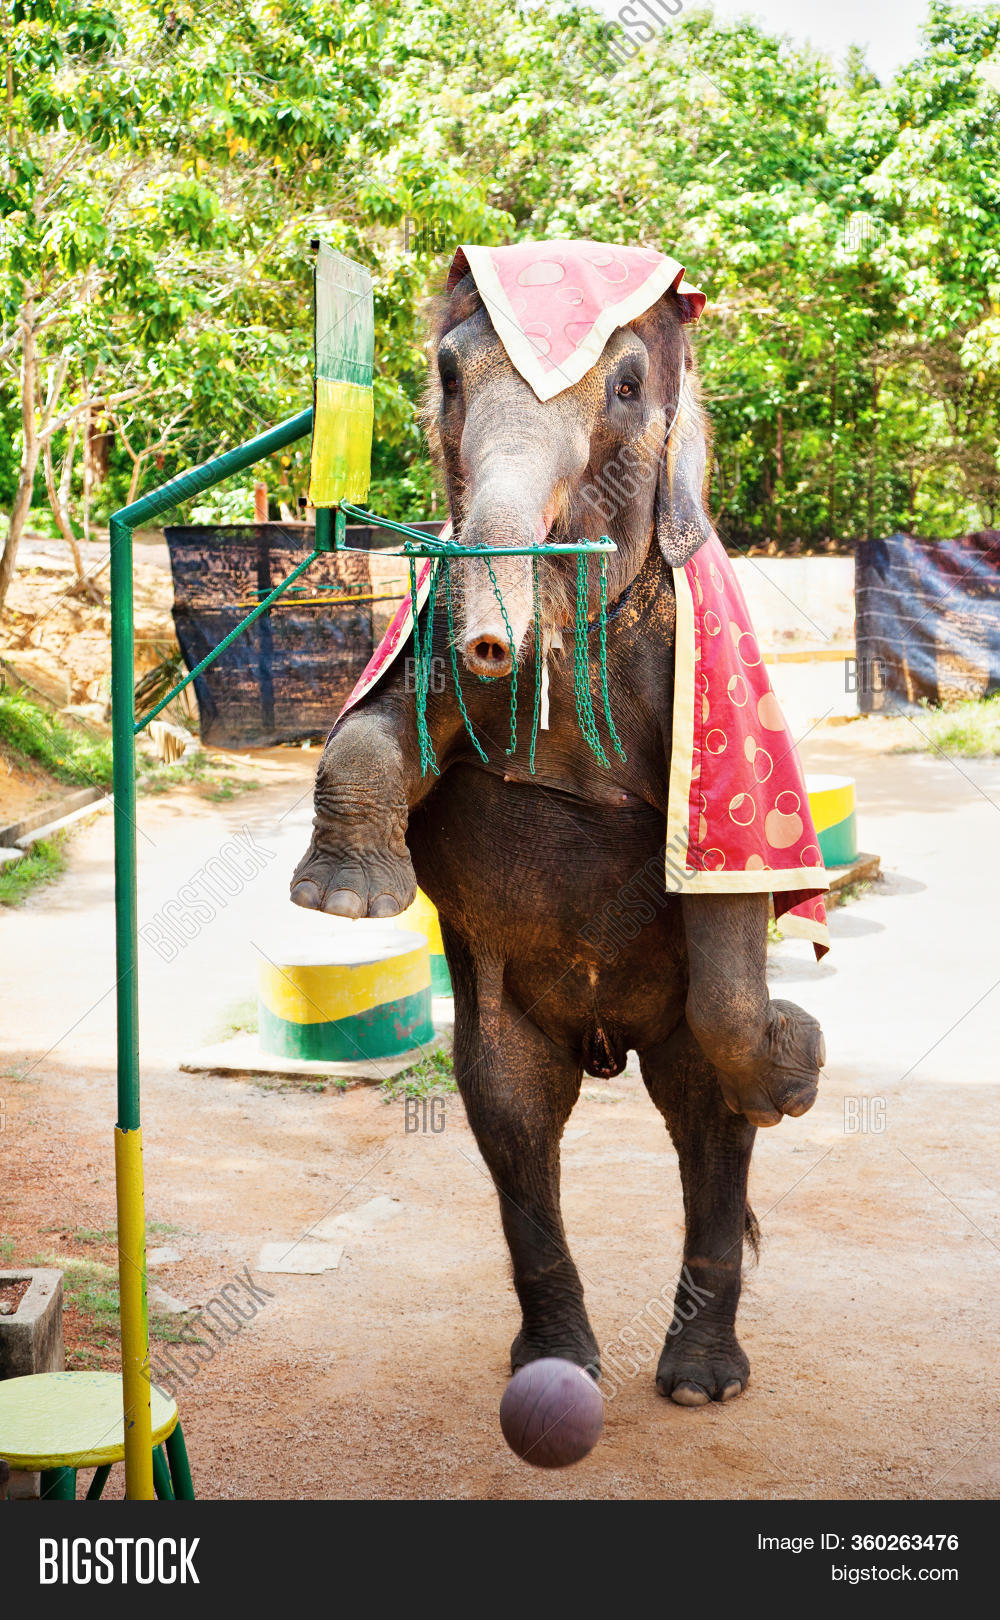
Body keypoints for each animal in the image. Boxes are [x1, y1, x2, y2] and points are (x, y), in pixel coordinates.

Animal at [290, 269, 826, 1406]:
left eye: (625, 388)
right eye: (445, 375)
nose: (495, 645)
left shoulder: (707, 684)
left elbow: (725, 908)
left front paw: (793, 1056)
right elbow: (381, 728)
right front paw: (344, 905)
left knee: (704, 1113)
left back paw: (700, 1381)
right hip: (512, 1038)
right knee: (510, 1104)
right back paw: (557, 1363)